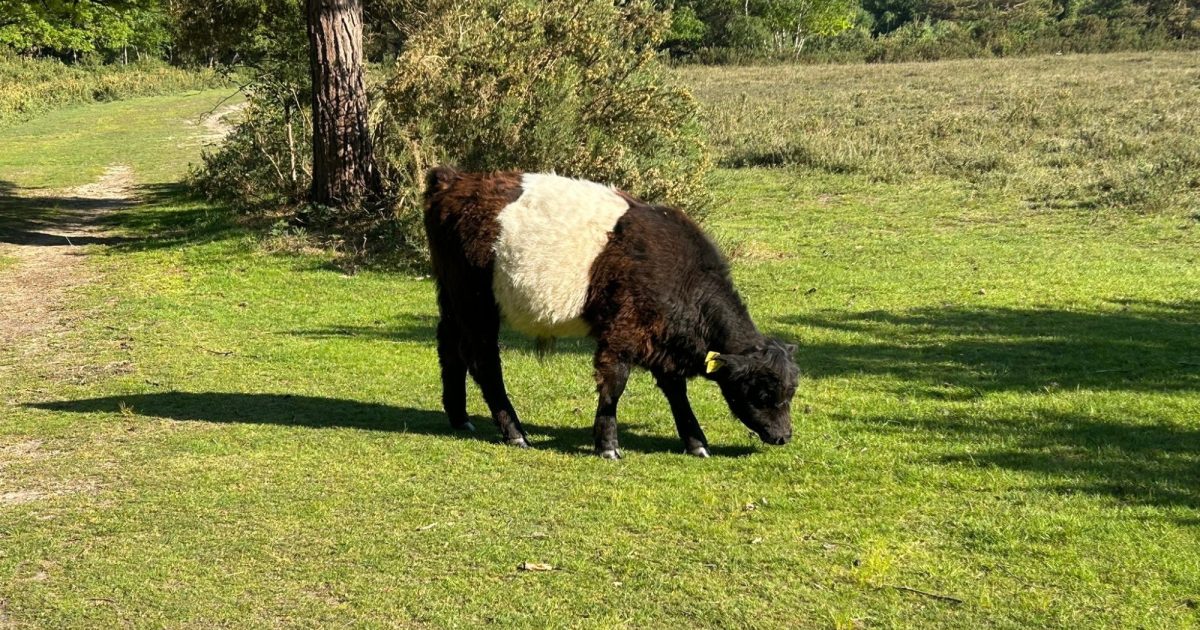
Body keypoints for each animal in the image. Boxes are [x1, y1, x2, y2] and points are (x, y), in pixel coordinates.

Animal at [423, 166, 798, 458]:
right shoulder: (622, 332)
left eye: (791, 392)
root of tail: (453, 179)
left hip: (452, 298)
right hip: (476, 302)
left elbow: (676, 392)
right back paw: (514, 432)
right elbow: (614, 385)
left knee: (449, 347)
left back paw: (459, 416)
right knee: (484, 362)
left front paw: (696, 442)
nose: (784, 437)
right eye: (762, 393)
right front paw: (607, 444)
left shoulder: (661, 341)